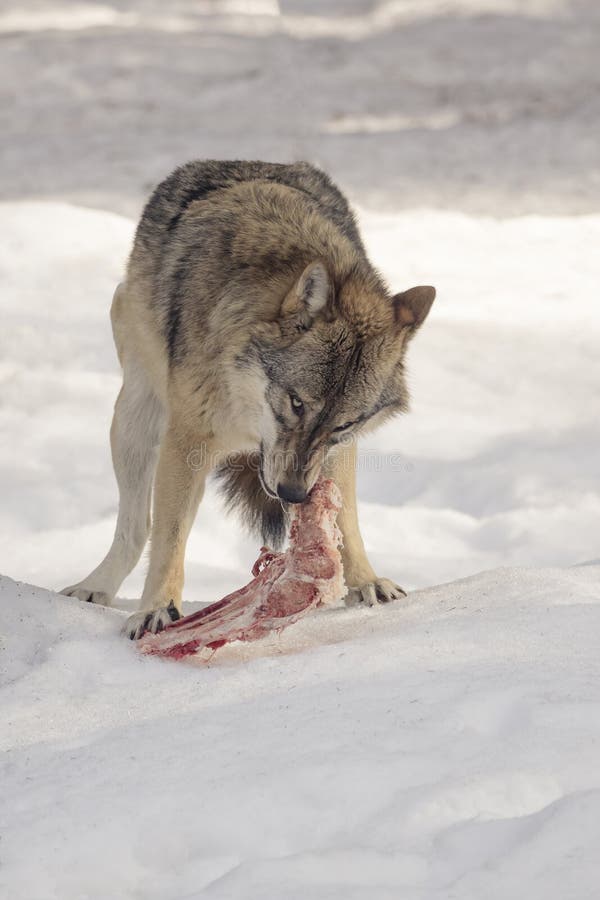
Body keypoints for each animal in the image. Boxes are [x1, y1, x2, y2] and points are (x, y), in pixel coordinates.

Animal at [61, 160, 435, 639]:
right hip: (135, 419)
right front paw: (157, 609)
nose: (293, 494)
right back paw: (95, 588)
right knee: (137, 526)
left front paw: (366, 583)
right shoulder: (187, 440)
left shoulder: (335, 451)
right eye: (297, 403)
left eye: (343, 424)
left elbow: (344, 521)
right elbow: (169, 536)